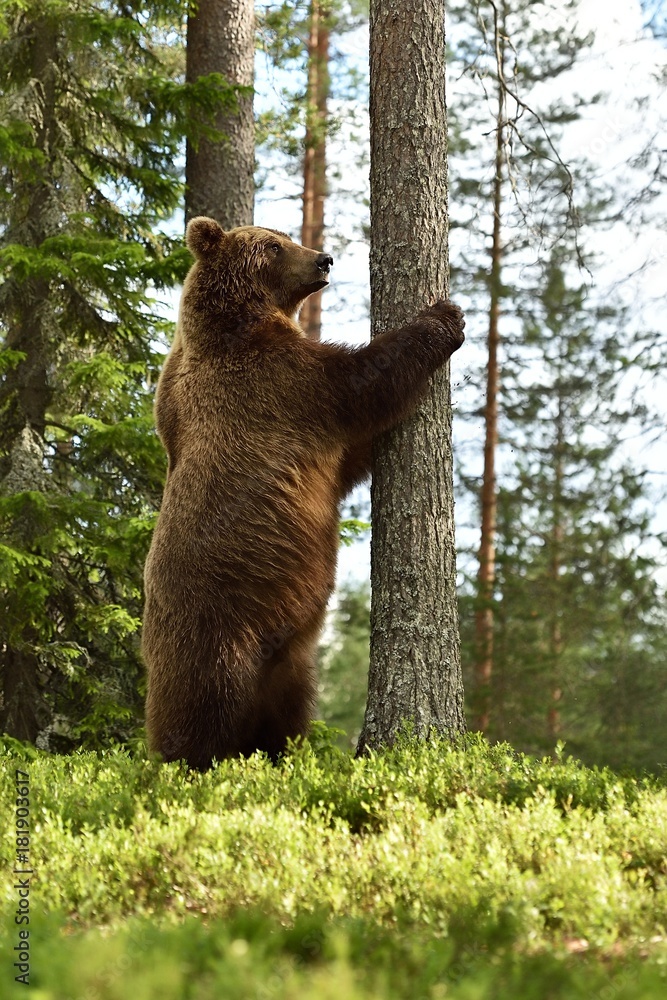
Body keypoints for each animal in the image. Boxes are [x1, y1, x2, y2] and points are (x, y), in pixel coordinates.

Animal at [142, 216, 465, 770]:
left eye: (287, 236)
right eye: (275, 245)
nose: (323, 258)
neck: (237, 320)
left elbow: (348, 455)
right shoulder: (274, 377)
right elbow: (360, 382)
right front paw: (445, 317)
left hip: (289, 660)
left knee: (286, 712)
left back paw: (278, 756)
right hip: (213, 623)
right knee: (203, 703)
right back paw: (192, 761)